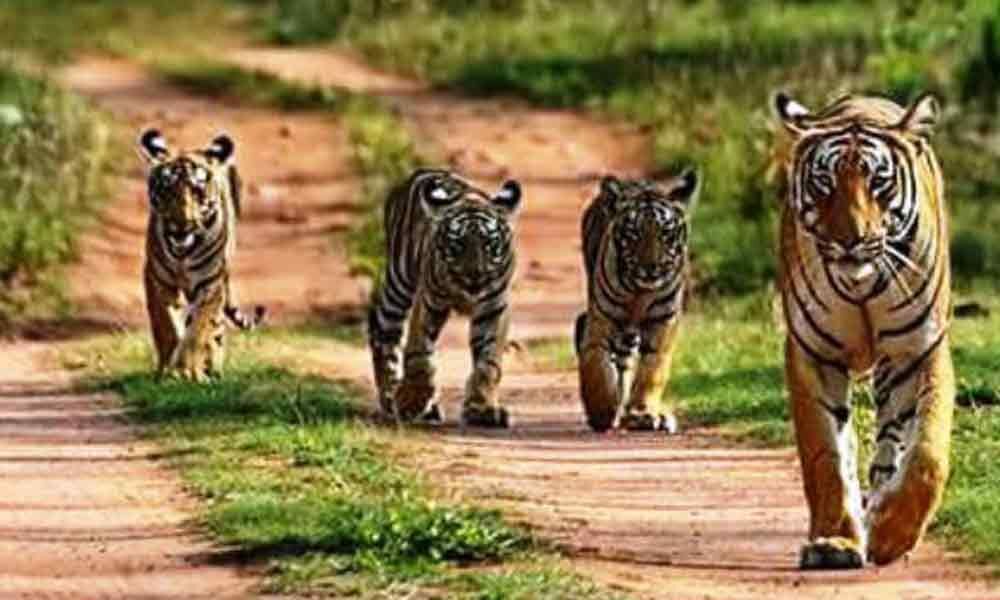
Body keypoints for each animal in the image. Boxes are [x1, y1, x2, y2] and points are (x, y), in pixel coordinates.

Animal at [138, 129, 265, 381]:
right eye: (166, 190)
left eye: (197, 192)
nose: (181, 226)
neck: (182, 252)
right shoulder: (157, 279)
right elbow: (165, 324)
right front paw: (166, 368)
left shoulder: (211, 283)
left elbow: (198, 328)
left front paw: (185, 371)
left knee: (215, 329)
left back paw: (212, 368)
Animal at [367, 168, 522, 427]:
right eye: (457, 244)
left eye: (490, 243)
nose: (474, 277)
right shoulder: (429, 300)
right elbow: (419, 355)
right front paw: (412, 402)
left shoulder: (493, 306)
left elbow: (488, 361)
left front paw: (482, 408)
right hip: (398, 286)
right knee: (384, 334)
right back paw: (391, 398)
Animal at [574, 171, 699, 433]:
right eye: (634, 234)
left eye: (665, 234)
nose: (651, 268)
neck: (640, 292)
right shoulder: (601, 321)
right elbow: (596, 366)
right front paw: (602, 413)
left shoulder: (664, 322)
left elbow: (652, 370)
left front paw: (642, 413)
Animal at [773, 92, 953, 569]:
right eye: (825, 183)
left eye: (878, 183)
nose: (850, 240)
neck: (862, 285)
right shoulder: (813, 352)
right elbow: (825, 456)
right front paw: (834, 541)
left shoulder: (920, 349)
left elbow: (927, 453)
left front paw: (893, 533)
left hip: (894, 370)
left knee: (892, 444)